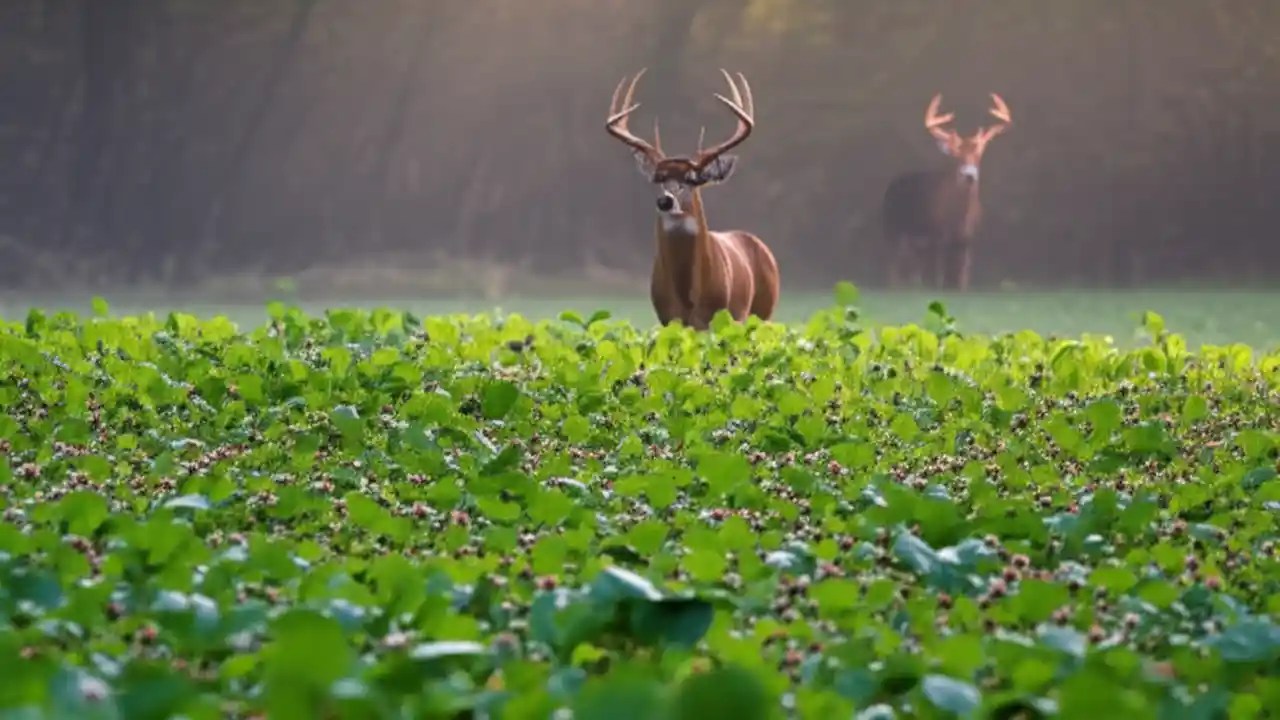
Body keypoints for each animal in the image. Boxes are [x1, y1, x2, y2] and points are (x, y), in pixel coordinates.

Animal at [605, 68, 780, 330]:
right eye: (659, 179)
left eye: (691, 179)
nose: (665, 201)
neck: (688, 295)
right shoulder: (668, 319)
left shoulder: (715, 317)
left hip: (762, 312)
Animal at [881, 93, 1013, 291]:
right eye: (957, 156)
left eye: (978, 156)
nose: (969, 175)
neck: (956, 219)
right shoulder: (937, 236)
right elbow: (937, 278)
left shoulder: (966, 240)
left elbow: (960, 279)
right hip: (893, 228)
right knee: (895, 268)